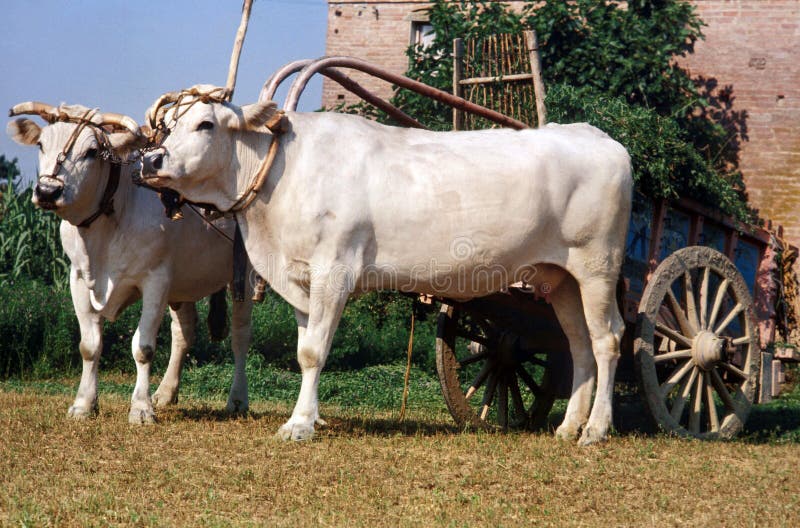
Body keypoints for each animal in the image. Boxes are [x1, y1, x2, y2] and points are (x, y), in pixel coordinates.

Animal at [7, 101, 253, 424]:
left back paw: (237, 399)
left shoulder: (155, 280)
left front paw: (141, 408)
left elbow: (143, 347)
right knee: (184, 332)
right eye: (41, 144)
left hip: (244, 276)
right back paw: (166, 392)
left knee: (239, 335)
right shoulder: (78, 278)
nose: (48, 191)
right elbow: (89, 345)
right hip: (183, 282)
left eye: (91, 152)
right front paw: (83, 404)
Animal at [140, 85, 632, 445]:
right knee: (578, 343)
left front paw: (298, 425)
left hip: (597, 266)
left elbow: (313, 351)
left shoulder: (334, 270)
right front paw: (312, 417)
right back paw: (568, 426)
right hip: (561, 278)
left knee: (608, 339)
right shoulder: (299, 277)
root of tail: (599, 137)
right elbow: (305, 347)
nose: (150, 160)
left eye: (205, 124)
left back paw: (595, 430)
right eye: (168, 125)